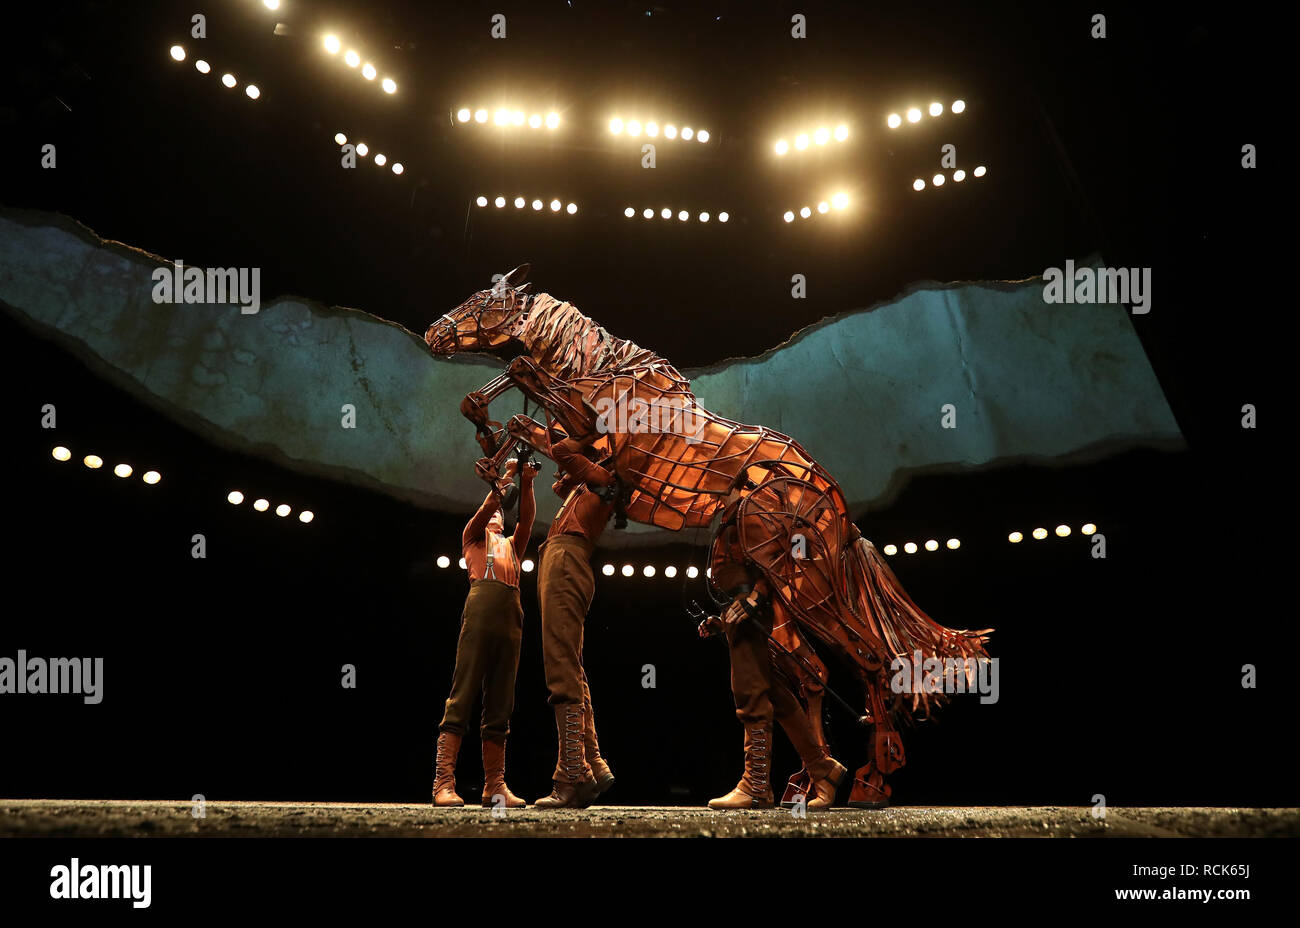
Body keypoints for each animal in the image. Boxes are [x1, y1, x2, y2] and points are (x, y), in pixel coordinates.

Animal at [425, 264, 992, 806]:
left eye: (481, 299)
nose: (433, 333)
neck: (610, 371)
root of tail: (837, 506)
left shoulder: (593, 446)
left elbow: (528, 380)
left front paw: (494, 435)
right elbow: (527, 409)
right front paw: (489, 440)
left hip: (808, 585)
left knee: (873, 658)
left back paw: (870, 780)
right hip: (777, 588)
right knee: (811, 672)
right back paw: (809, 785)